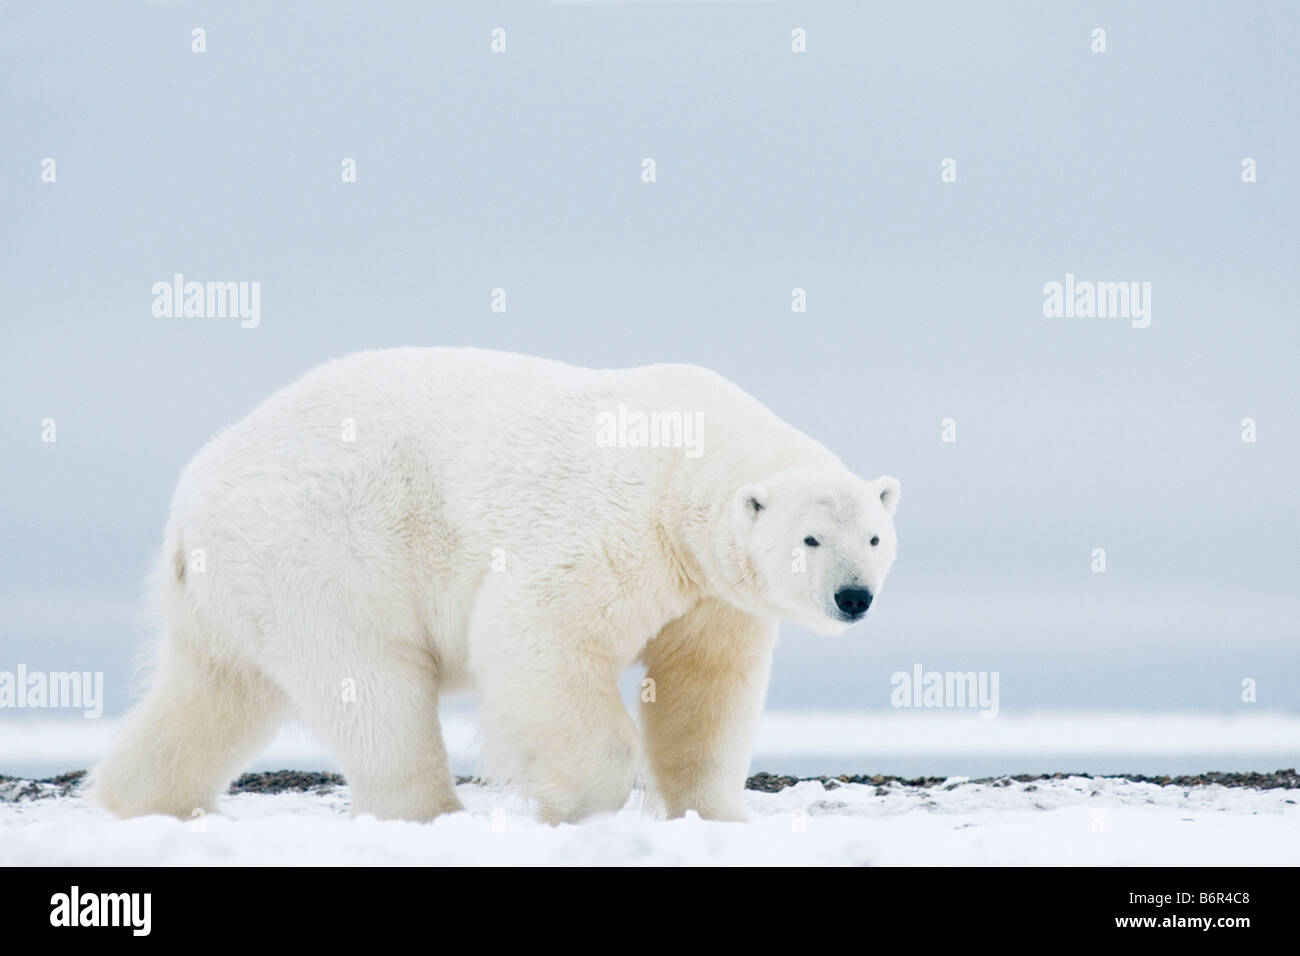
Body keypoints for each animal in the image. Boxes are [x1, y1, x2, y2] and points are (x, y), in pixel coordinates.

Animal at [93, 347, 900, 824]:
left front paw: (713, 815)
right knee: (375, 687)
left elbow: (704, 684)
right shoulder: (611, 525)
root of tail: (191, 500)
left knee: (214, 690)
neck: (685, 456)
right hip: (322, 555)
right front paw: (576, 804)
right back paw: (431, 813)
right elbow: (537, 636)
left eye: (873, 537)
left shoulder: (707, 593)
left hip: (234, 586)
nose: (853, 598)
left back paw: (139, 799)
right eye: (809, 539)